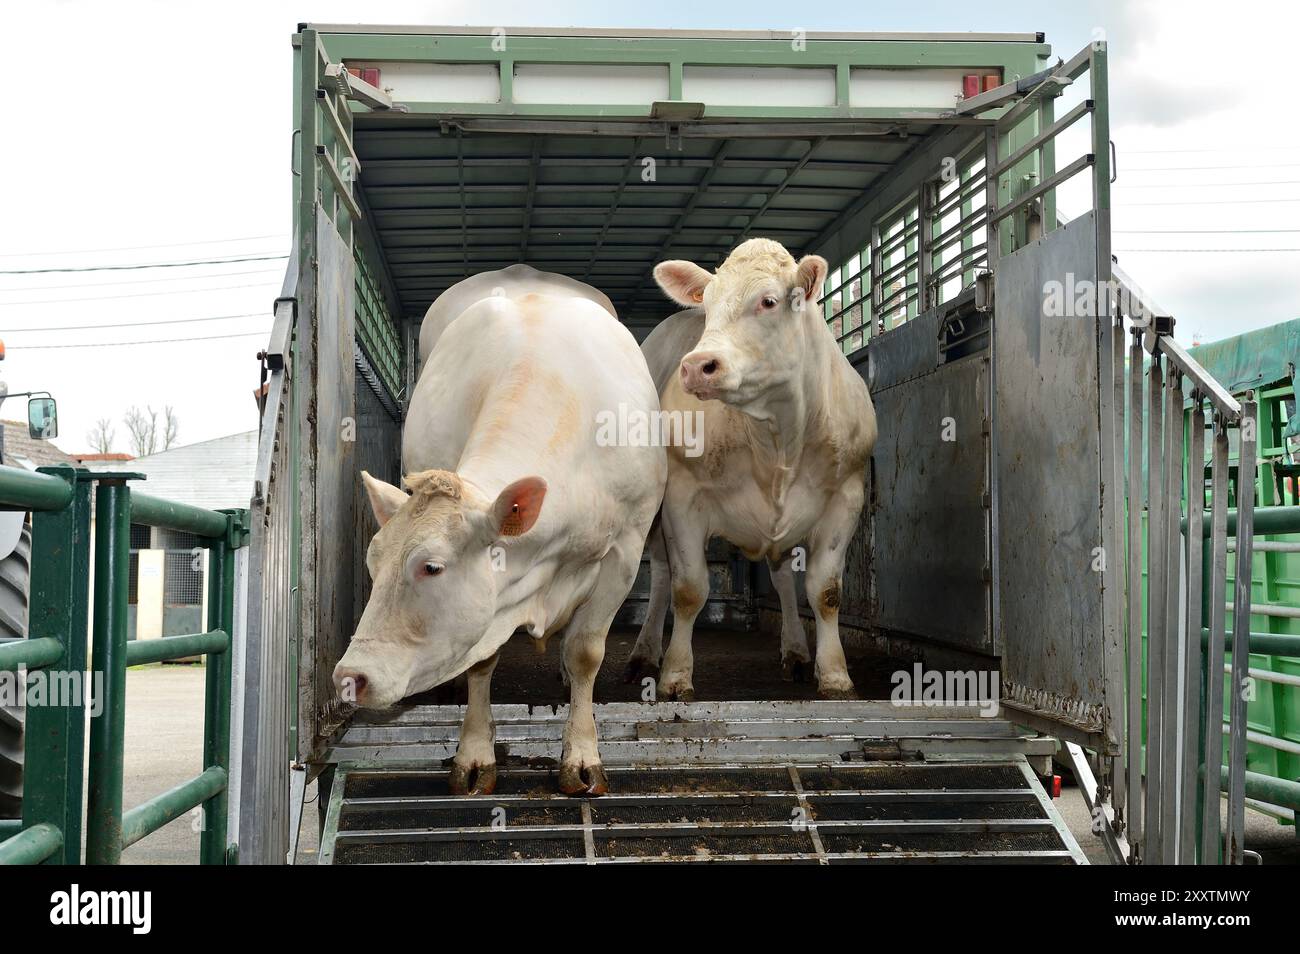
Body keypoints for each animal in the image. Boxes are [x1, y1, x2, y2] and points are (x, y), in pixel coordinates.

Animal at [334, 265, 666, 797]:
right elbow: (480, 660)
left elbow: (586, 651)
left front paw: (582, 756)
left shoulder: (626, 548)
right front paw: (474, 753)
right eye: (371, 563)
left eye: (432, 567)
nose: (350, 677)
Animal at [624, 239, 877, 701]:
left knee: (782, 577)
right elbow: (687, 589)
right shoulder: (683, 498)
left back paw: (796, 651)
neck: (776, 435)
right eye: (706, 305)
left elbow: (825, 591)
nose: (697, 366)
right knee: (663, 575)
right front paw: (675, 675)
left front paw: (835, 675)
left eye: (768, 301)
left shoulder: (846, 496)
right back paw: (645, 653)